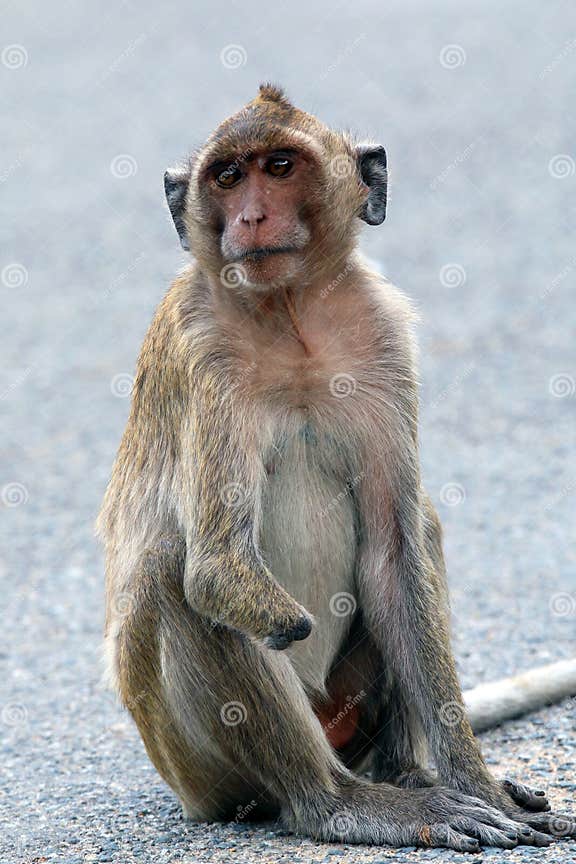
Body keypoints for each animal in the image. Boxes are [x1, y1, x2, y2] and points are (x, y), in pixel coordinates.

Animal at [97, 84, 575, 851]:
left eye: (280, 166)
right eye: (227, 177)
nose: (251, 217)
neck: (289, 314)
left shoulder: (382, 337)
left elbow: (395, 554)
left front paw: (478, 783)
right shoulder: (200, 351)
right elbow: (215, 570)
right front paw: (280, 621)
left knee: (421, 525)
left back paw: (410, 775)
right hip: (195, 768)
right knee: (173, 570)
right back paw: (336, 802)